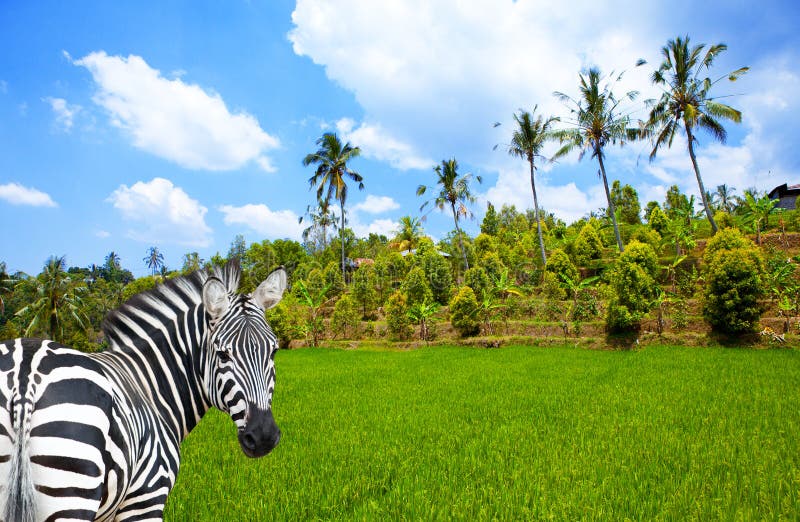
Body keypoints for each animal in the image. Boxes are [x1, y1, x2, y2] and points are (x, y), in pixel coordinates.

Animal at [0, 261, 287, 521]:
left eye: (273, 352)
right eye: (223, 354)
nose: (263, 437)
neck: (151, 389)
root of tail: (26, 371)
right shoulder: (145, 499)